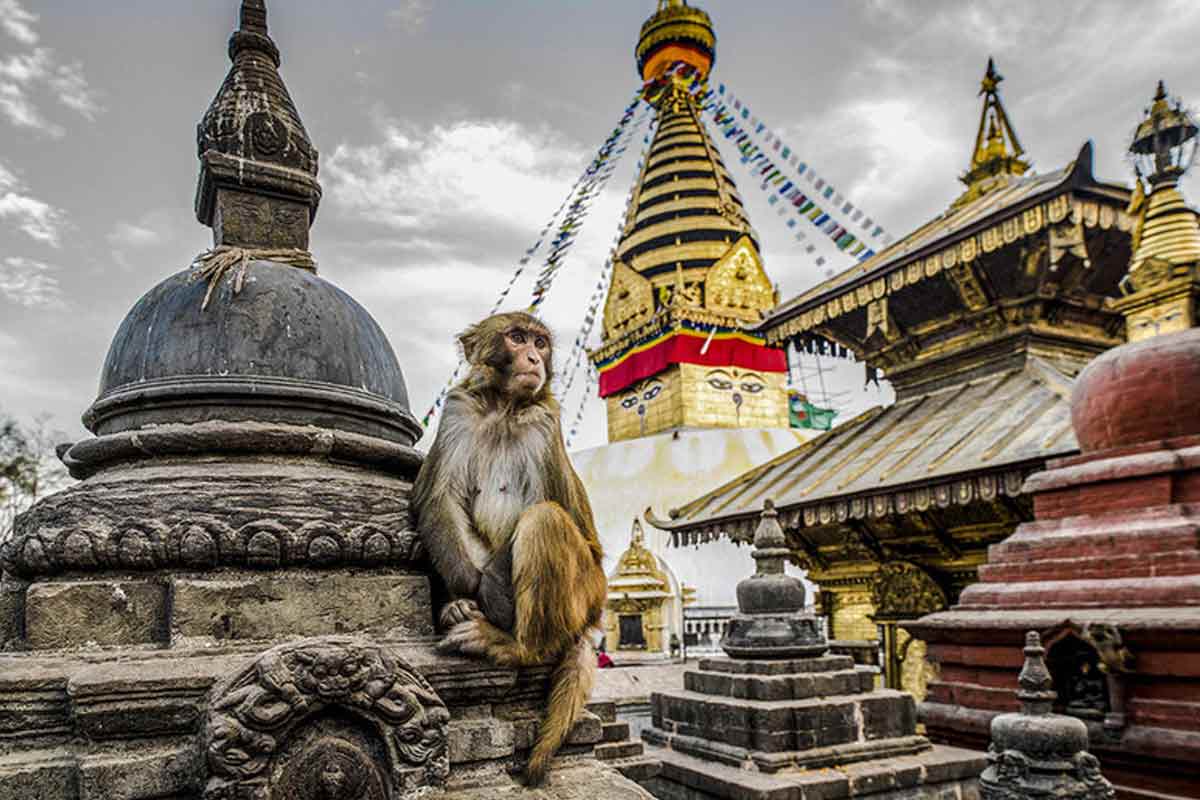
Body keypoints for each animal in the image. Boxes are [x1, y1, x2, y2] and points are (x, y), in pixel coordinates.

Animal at [411, 311, 608, 786]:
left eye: (540, 342)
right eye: (517, 338)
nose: (534, 358)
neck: (503, 407)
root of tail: (595, 612)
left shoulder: (543, 424)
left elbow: (537, 506)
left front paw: (484, 603)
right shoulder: (459, 410)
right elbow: (441, 498)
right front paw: (463, 596)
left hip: (585, 591)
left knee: (544, 520)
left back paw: (515, 644)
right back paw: (462, 607)